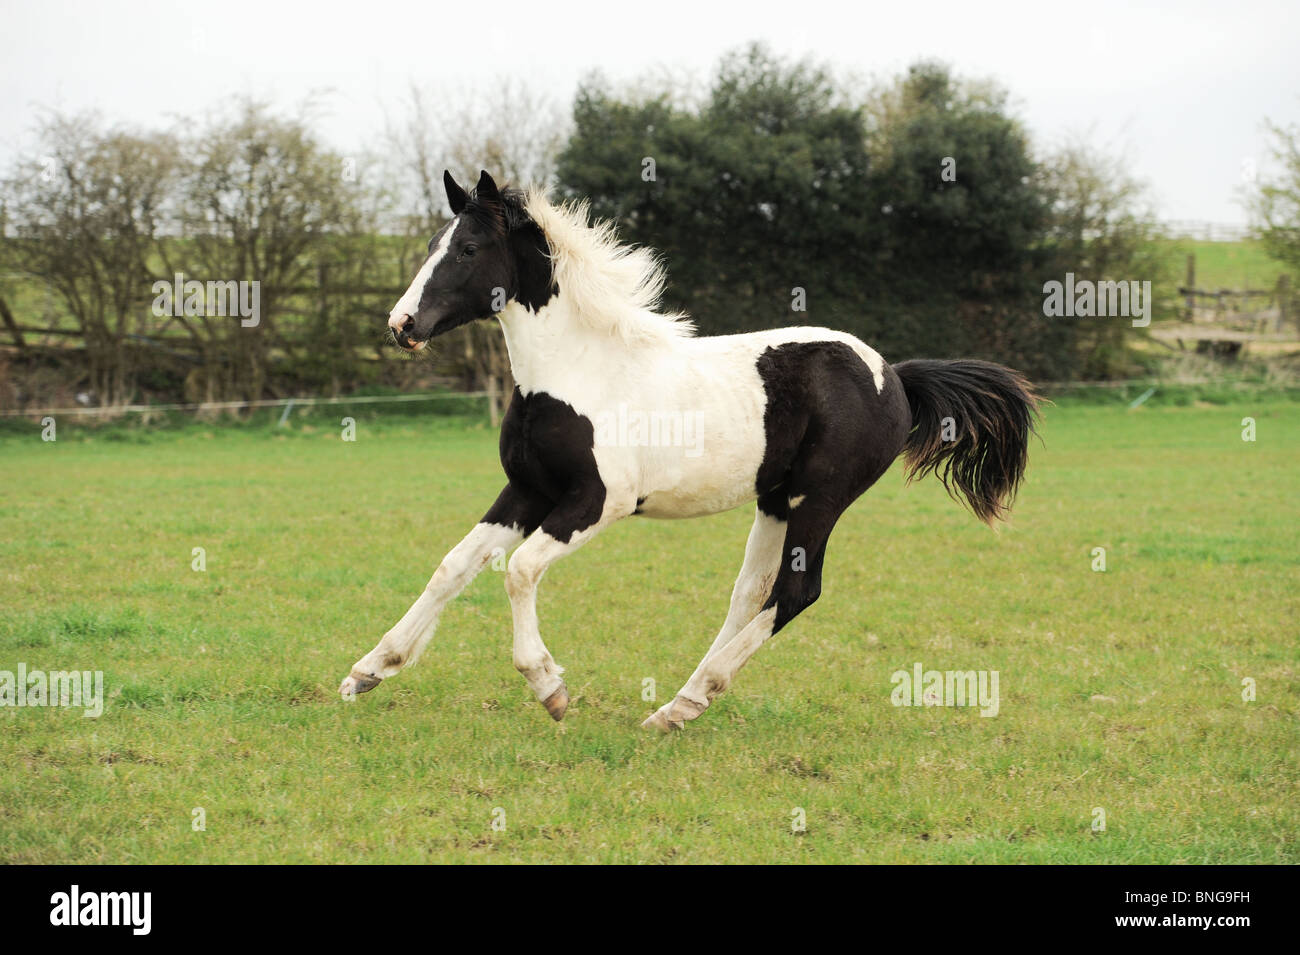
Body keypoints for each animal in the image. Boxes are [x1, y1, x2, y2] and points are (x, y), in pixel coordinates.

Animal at [339, 170, 1040, 731]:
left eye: (468, 248)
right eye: (434, 245)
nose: (402, 326)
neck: (574, 372)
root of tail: (893, 374)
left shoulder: (598, 502)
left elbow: (518, 571)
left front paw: (550, 688)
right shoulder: (527, 490)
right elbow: (454, 567)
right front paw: (369, 670)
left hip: (820, 500)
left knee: (796, 593)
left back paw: (687, 702)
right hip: (775, 500)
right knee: (752, 593)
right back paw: (676, 705)